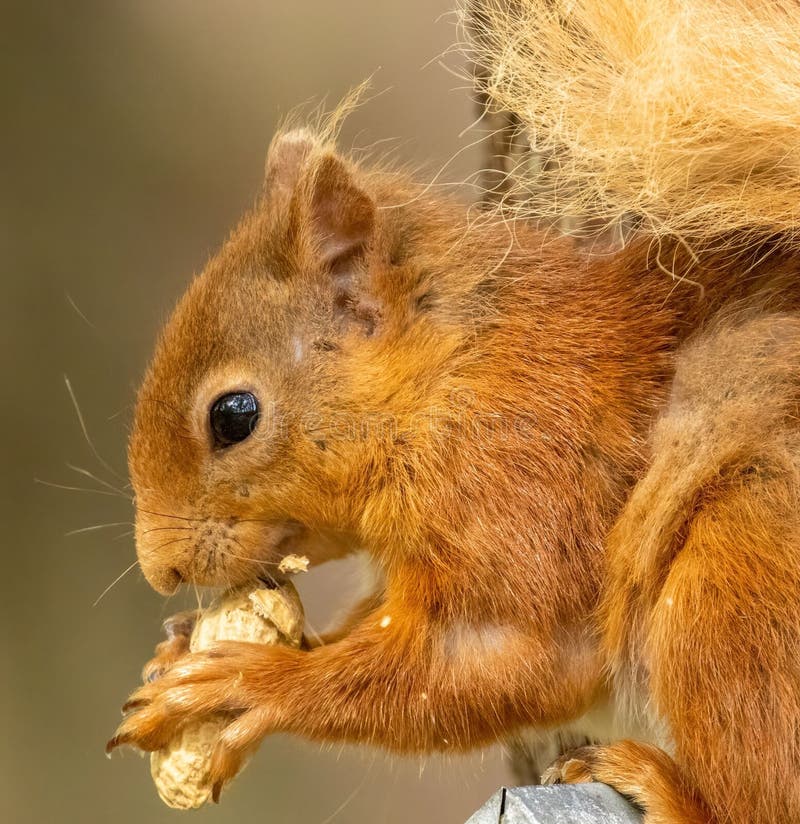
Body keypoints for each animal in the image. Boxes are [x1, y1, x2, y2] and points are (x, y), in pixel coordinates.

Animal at [108, 1, 800, 821]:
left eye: (233, 416)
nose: (163, 571)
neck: (455, 379)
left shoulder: (524, 494)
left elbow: (500, 664)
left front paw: (244, 685)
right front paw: (183, 649)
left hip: (735, 577)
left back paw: (662, 786)